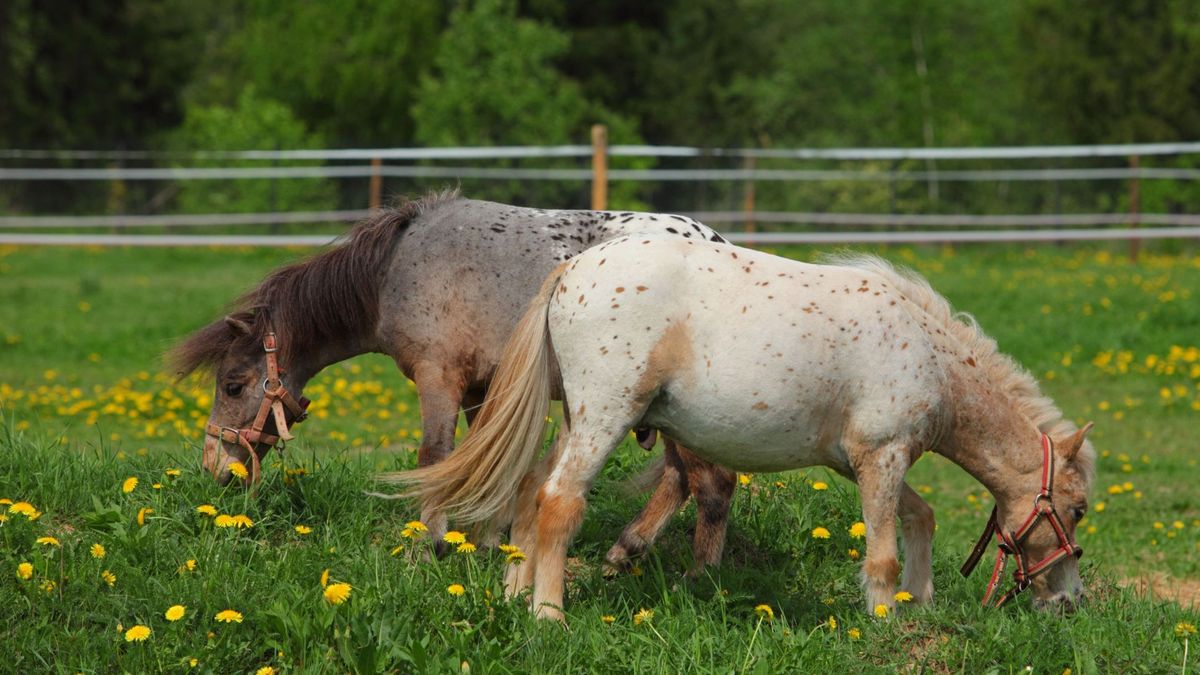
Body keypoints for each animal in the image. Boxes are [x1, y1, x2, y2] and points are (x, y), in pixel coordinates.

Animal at [169, 191, 737, 564]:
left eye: (233, 386)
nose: (214, 467)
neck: (394, 270)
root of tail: (721, 244)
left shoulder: (438, 378)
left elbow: (436, 456)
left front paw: (429, 544)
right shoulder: (481, 389)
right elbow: (487, 457)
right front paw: (486, 538)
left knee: (712, 484)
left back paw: (698, 578)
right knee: (682, 480)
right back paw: (630, 549)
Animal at [388, 236, 1096, 621]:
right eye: (1078, 509)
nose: (1069, 602)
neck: (929, 355)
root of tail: (573, 272)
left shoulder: (857, 462)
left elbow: (920, 518)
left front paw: (917, 607)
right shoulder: (883, 456)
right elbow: (884, 554)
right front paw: (885, 617)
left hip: (575, 420)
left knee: (532, 494)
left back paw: (516, 596)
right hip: (605, 420)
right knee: (560, 501)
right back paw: (548, 615)